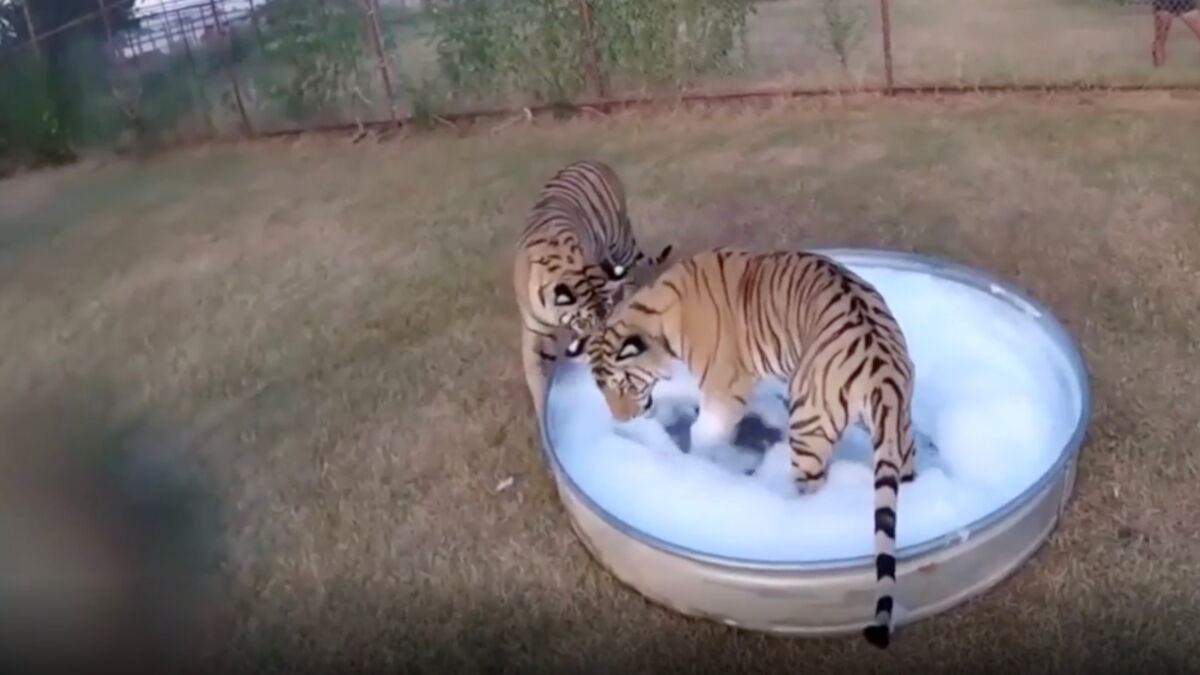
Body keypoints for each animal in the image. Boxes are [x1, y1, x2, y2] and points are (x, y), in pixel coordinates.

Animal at [513, 159, 673, 423]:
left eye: (605, 321)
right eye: (586, 324)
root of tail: (593, 162)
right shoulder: (536, 331)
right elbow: (537, 379)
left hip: (620, 243)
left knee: (629, 275)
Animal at [565, 247, 918, 649]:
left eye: (623, 386)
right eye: (603, 391)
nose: (623, 421)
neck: (660, 313)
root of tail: (882, 375)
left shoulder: (725, 389)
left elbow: (706, 434)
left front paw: (700, 463)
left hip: (809, 425)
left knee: (811, 486)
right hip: (897, 433)